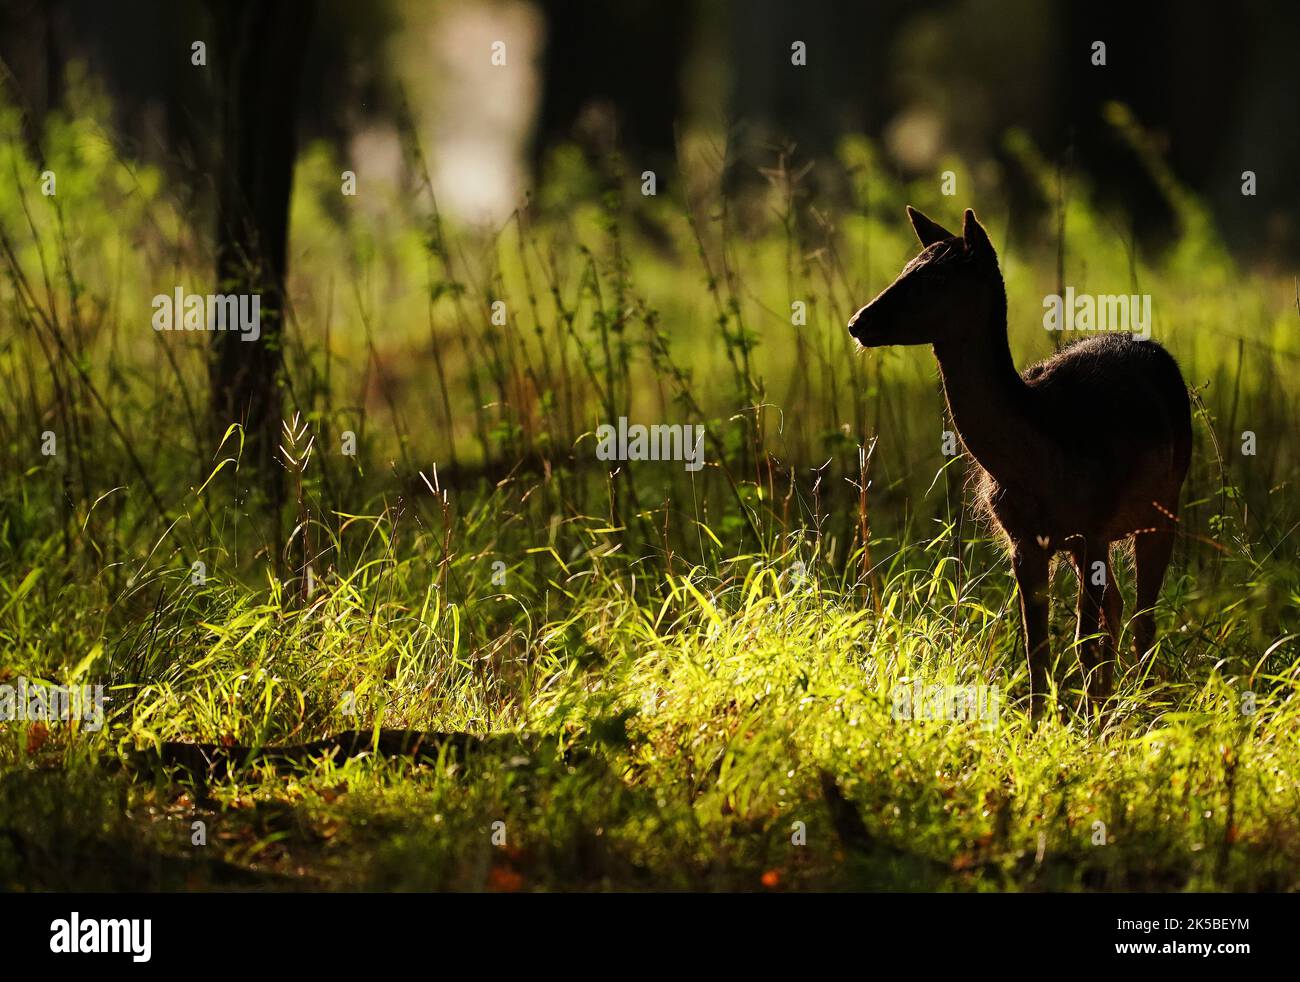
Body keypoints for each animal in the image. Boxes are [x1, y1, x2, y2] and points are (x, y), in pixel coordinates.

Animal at [848, 207, 1192, 719]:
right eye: (907, 266)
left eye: (940, 275)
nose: (859, 322)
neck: (1038, 454)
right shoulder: (1023, 539)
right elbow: (1037, 645)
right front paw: (1038, 723)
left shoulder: (1092, 524)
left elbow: (1083, 640)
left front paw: (1084, 727)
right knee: (1115, 609)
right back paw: (1112, 706)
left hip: (1164, 504)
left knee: (1141, 618)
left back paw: (1143, 707)